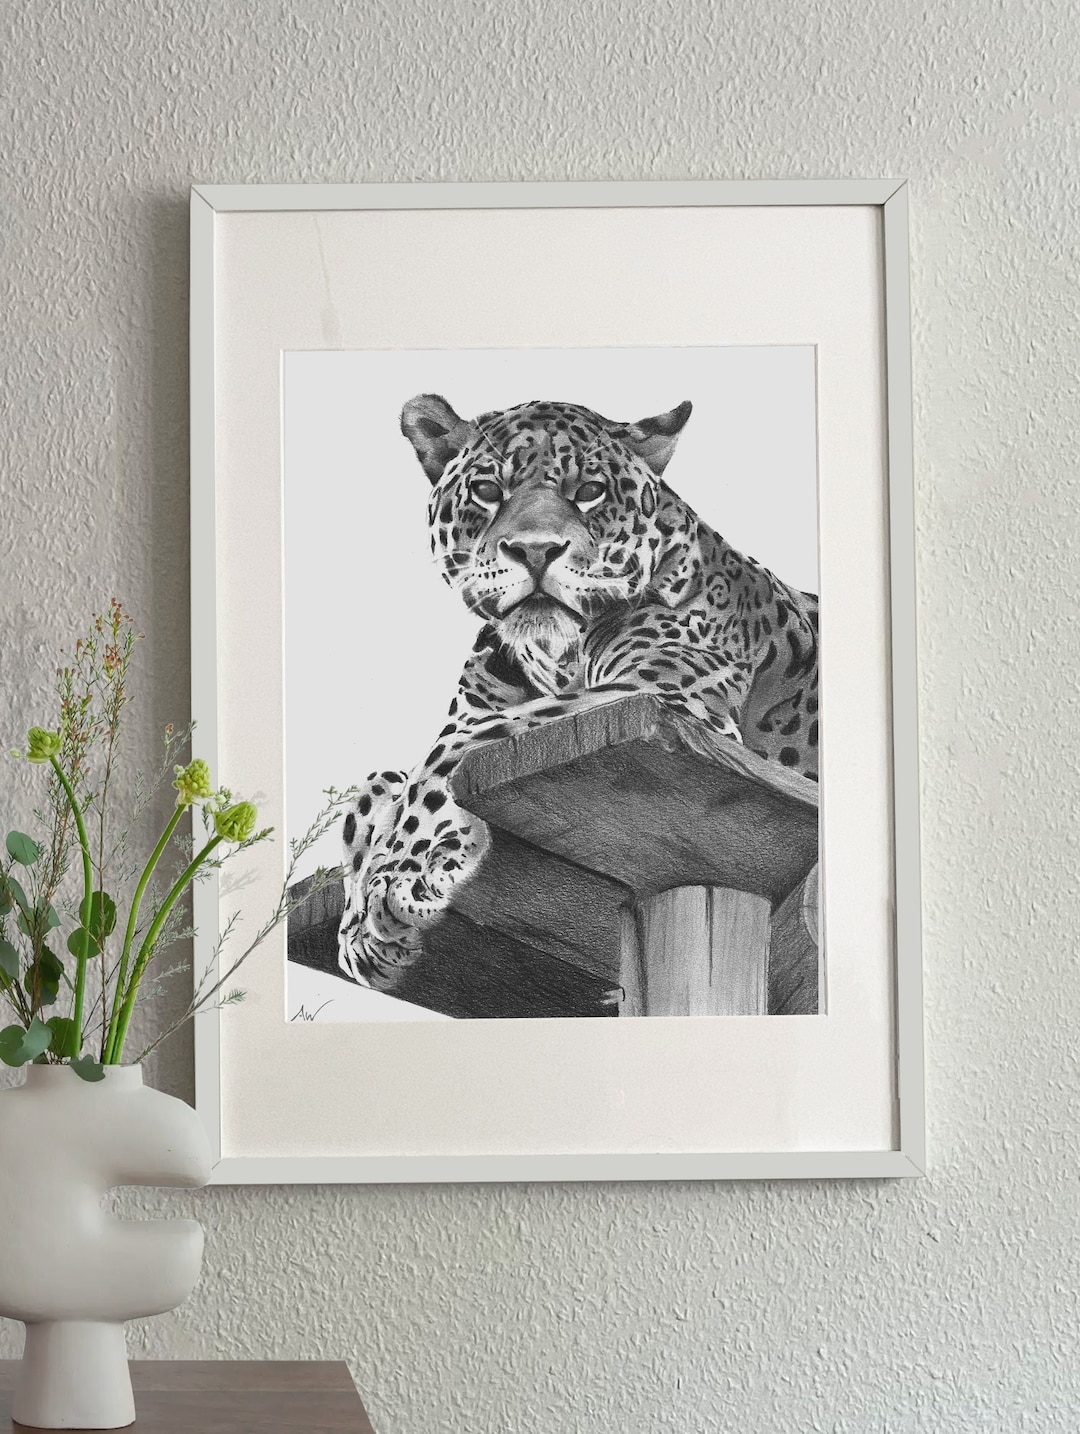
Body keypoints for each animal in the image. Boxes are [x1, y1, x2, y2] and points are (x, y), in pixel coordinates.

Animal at [337, 394, 819, 989]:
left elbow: (454, 754)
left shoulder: (661, 690)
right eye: (488, 490)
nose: (535, 551)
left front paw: (395, 877)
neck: (552, 656)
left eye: (589, 491)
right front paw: (363, 913)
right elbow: (377, 785)